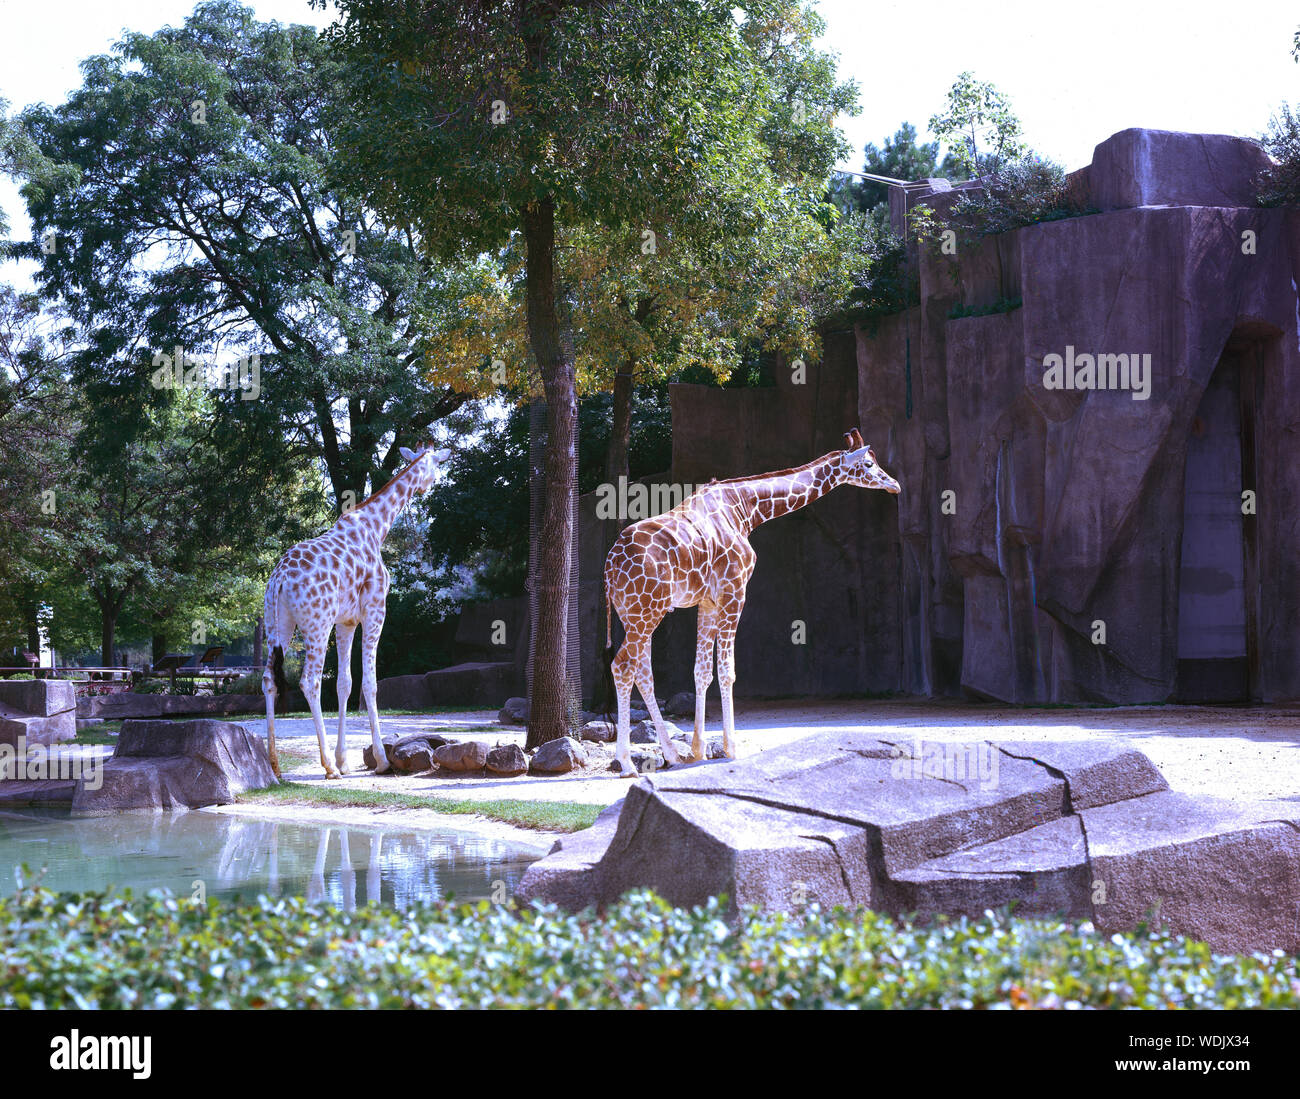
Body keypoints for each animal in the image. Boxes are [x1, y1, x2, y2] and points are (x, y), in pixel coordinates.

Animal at [262, 443, 452, 779]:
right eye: (436, 465)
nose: (428, 486)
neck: (378, 526)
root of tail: (279, 578)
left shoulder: (346, 621)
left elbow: (344, 683)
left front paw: (345, 760)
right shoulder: (375, 609)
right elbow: (369, 684)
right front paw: (380, 760)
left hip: (278, 623)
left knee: (269, 678)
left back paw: (275, 765)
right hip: (316, 624)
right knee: (309, 681)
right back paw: (326, 766)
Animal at [603, 429, 900, 777]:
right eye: (868, 464)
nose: (894, 484)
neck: (745, 510)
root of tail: (610, 566)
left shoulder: (709, 601)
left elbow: (701, 671)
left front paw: (698, 750)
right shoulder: (735, 591)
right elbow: (727, 671)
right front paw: (731, 749)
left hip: (634, 613)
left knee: (641, 672)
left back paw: (672, 756)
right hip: (648, 610)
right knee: (623, 667)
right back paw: (627, 763)